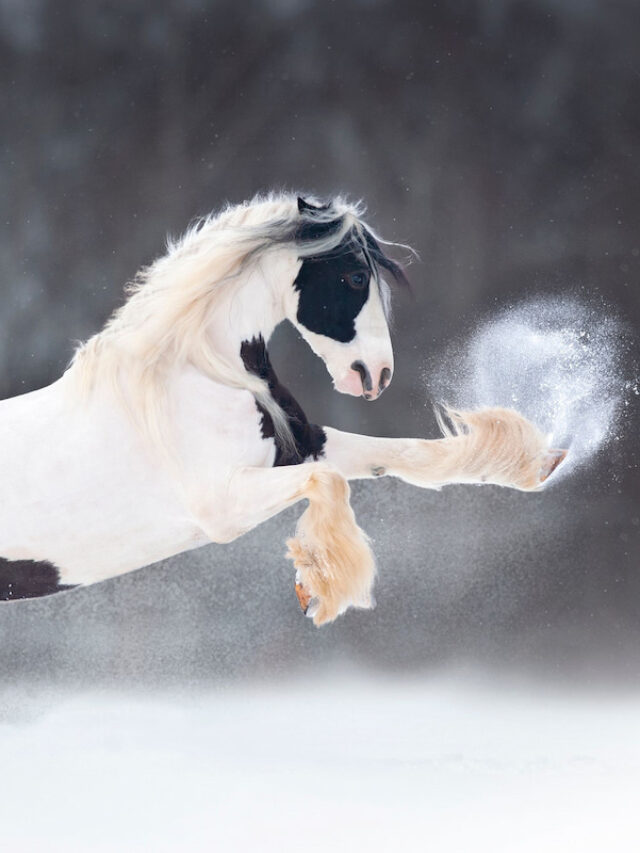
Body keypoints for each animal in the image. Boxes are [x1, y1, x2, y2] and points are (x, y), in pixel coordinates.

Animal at [0, 193, 565, 624]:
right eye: (355, 278)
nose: (377, 375)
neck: (196, 378)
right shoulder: (223, 506)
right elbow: (330, 484)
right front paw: (321, 587)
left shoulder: (299, 445)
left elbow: (406, 454)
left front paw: (536, 463)